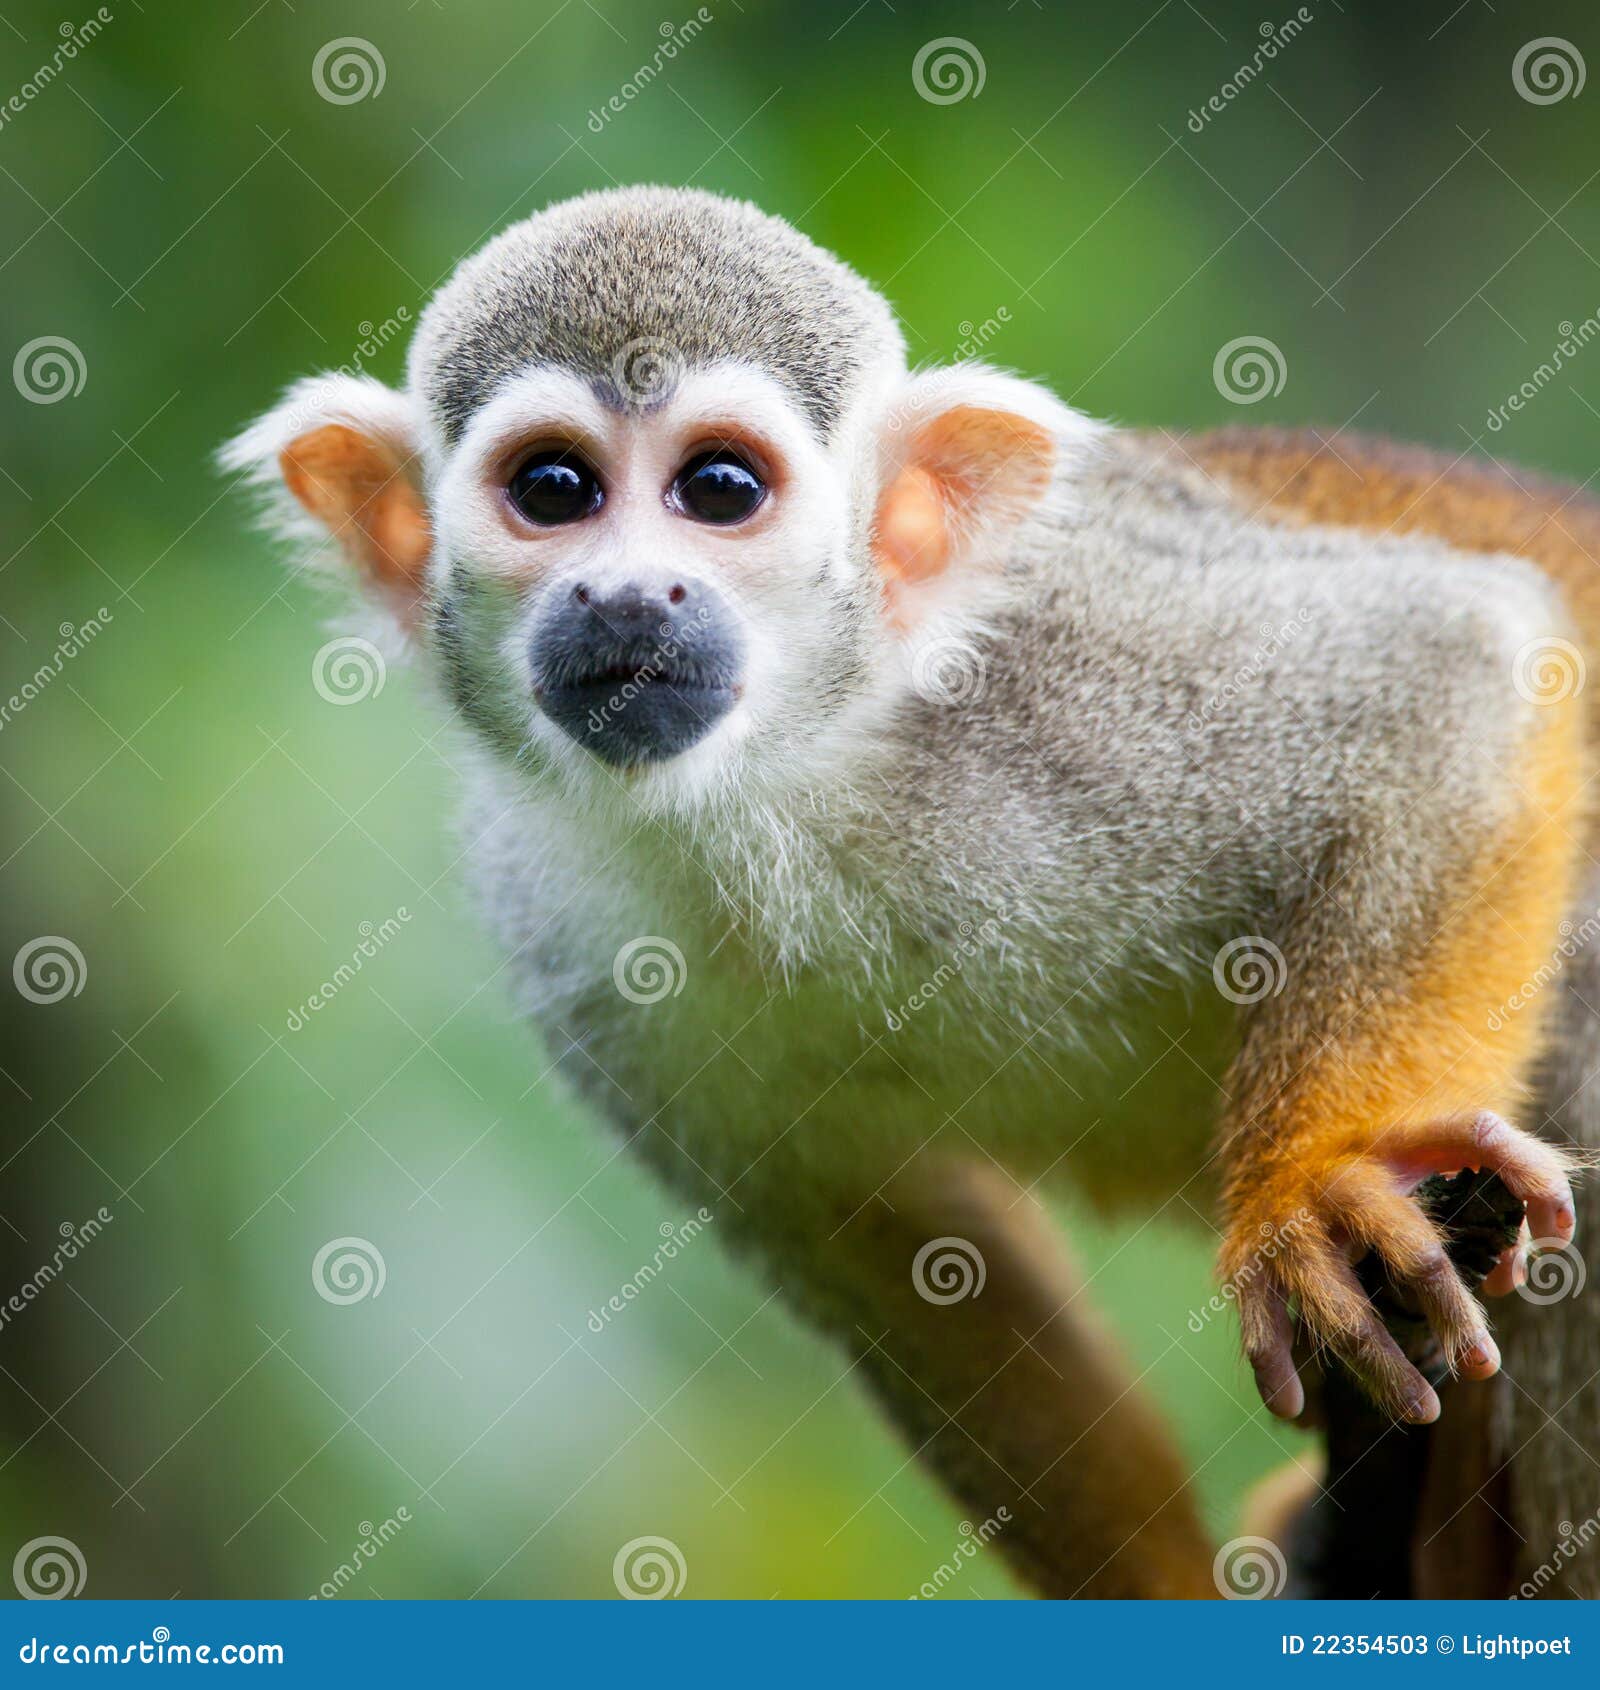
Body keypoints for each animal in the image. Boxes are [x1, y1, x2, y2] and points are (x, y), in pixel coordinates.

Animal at [222, 185, 1596, 1600]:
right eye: (553, 490)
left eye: (719, 489)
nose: (624, 595)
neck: (786, 778)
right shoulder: (554, 924)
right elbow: (902, 1255)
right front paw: (1167, 1595)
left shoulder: (1073, 664)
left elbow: (1451, 661)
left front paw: (1317, 1187)